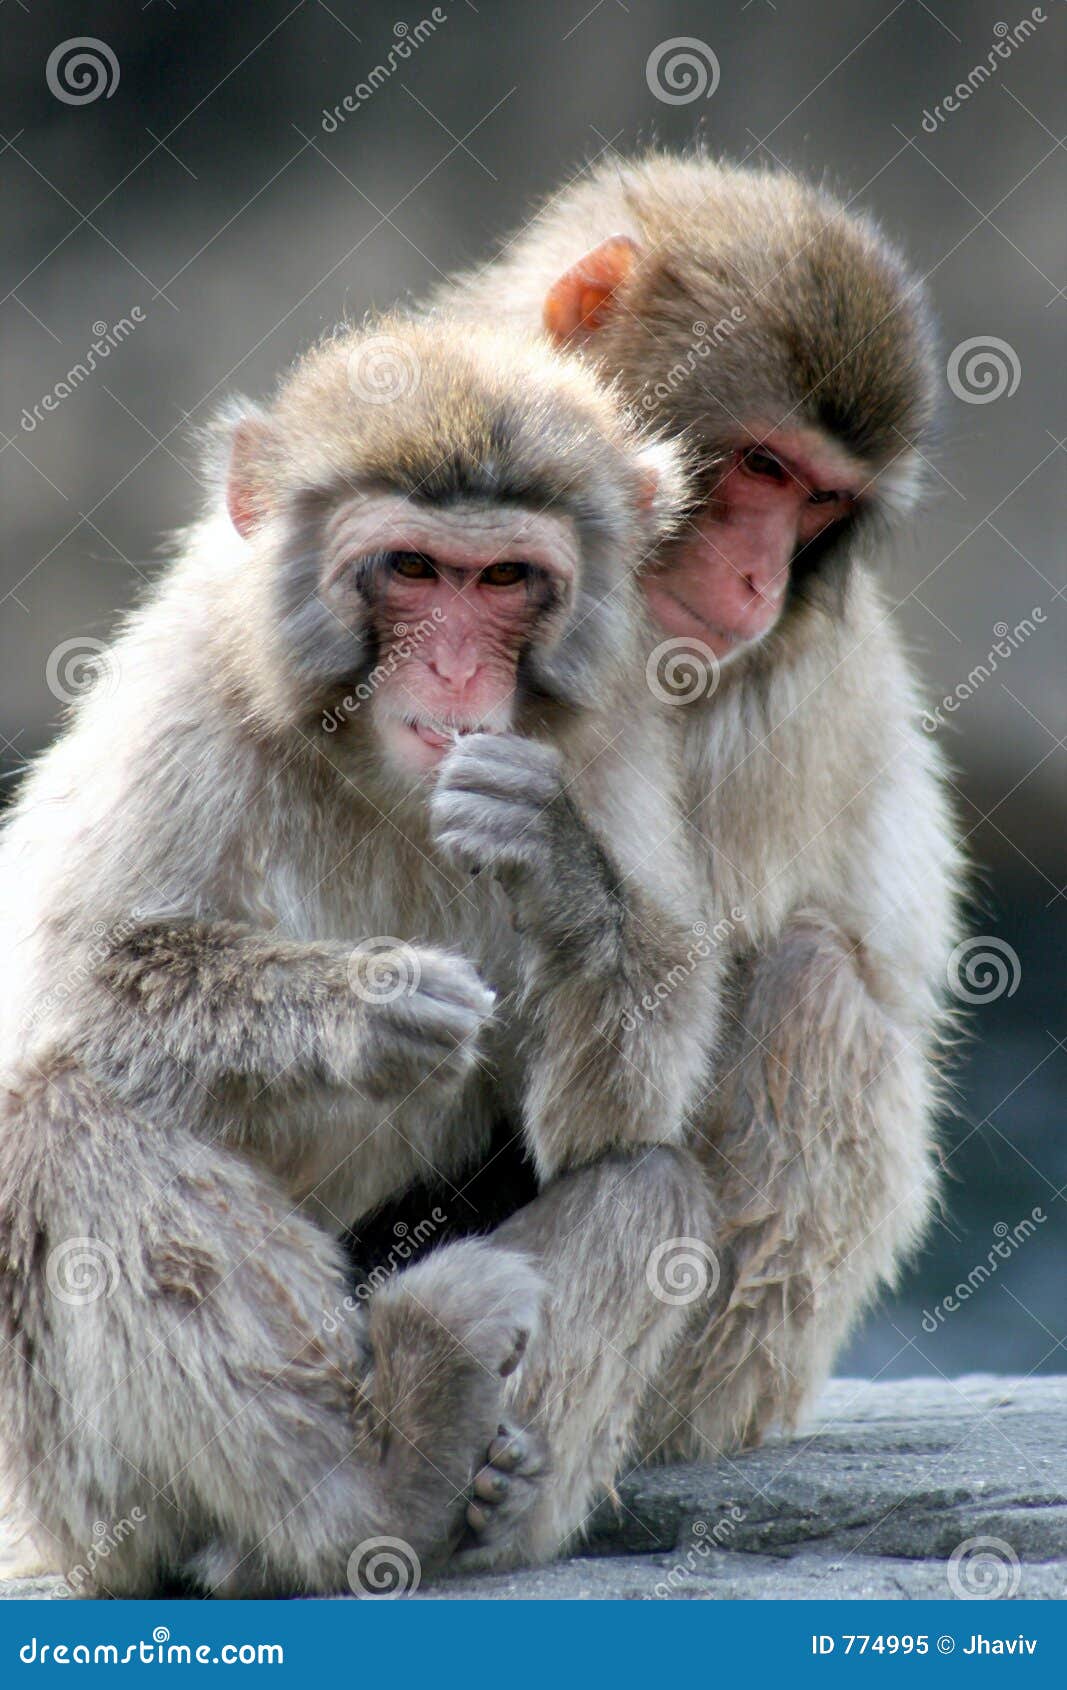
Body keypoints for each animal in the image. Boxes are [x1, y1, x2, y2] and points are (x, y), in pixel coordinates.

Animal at [0, 314, 722, 1595]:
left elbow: (611, 1119)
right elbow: (61, 988)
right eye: (412, 570)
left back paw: (480, 1493)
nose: (453, 671)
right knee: (60, 1116)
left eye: (503, 579)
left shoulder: (614, 733)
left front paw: (552, 863)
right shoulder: (189, 680)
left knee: (654, 1184)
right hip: (81, 1511)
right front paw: (364, 1002)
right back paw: (375, 1484)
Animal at [428, 152, 963, 1569]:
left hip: (746, 1369)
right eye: (763, 463)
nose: (761, 579)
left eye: (822, 502)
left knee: (810, 986)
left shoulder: (763, 695)